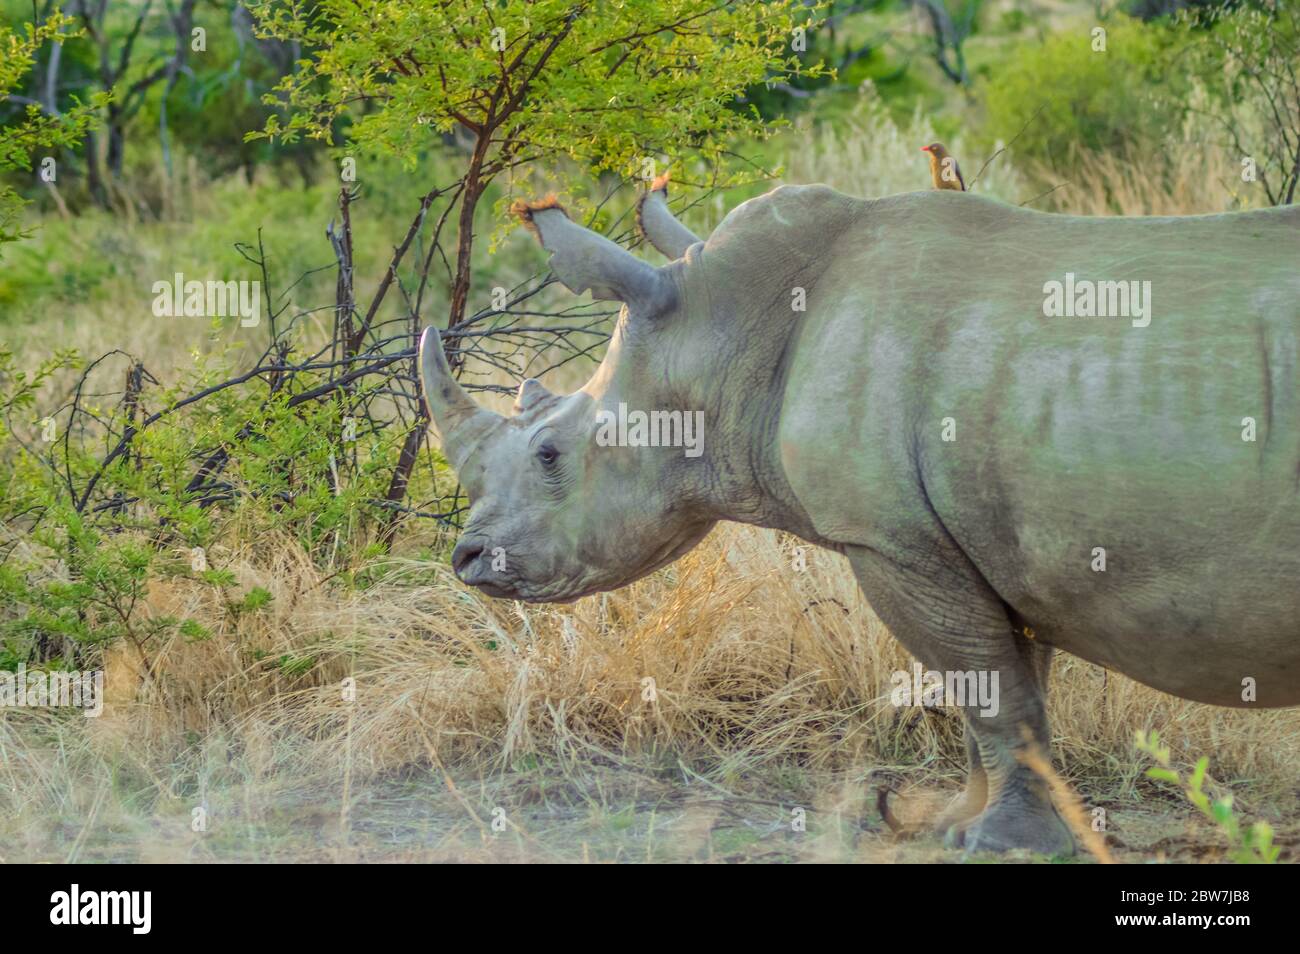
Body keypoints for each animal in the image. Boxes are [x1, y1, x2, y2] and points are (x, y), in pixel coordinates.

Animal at [419, 177, 1300, 854]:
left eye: (550, 455)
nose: (468, 560)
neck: (728, 333)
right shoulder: (999, 536)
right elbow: (1003, 682)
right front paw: (946, 822)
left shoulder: (894, 540)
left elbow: (992, 690)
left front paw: (1001, 843)